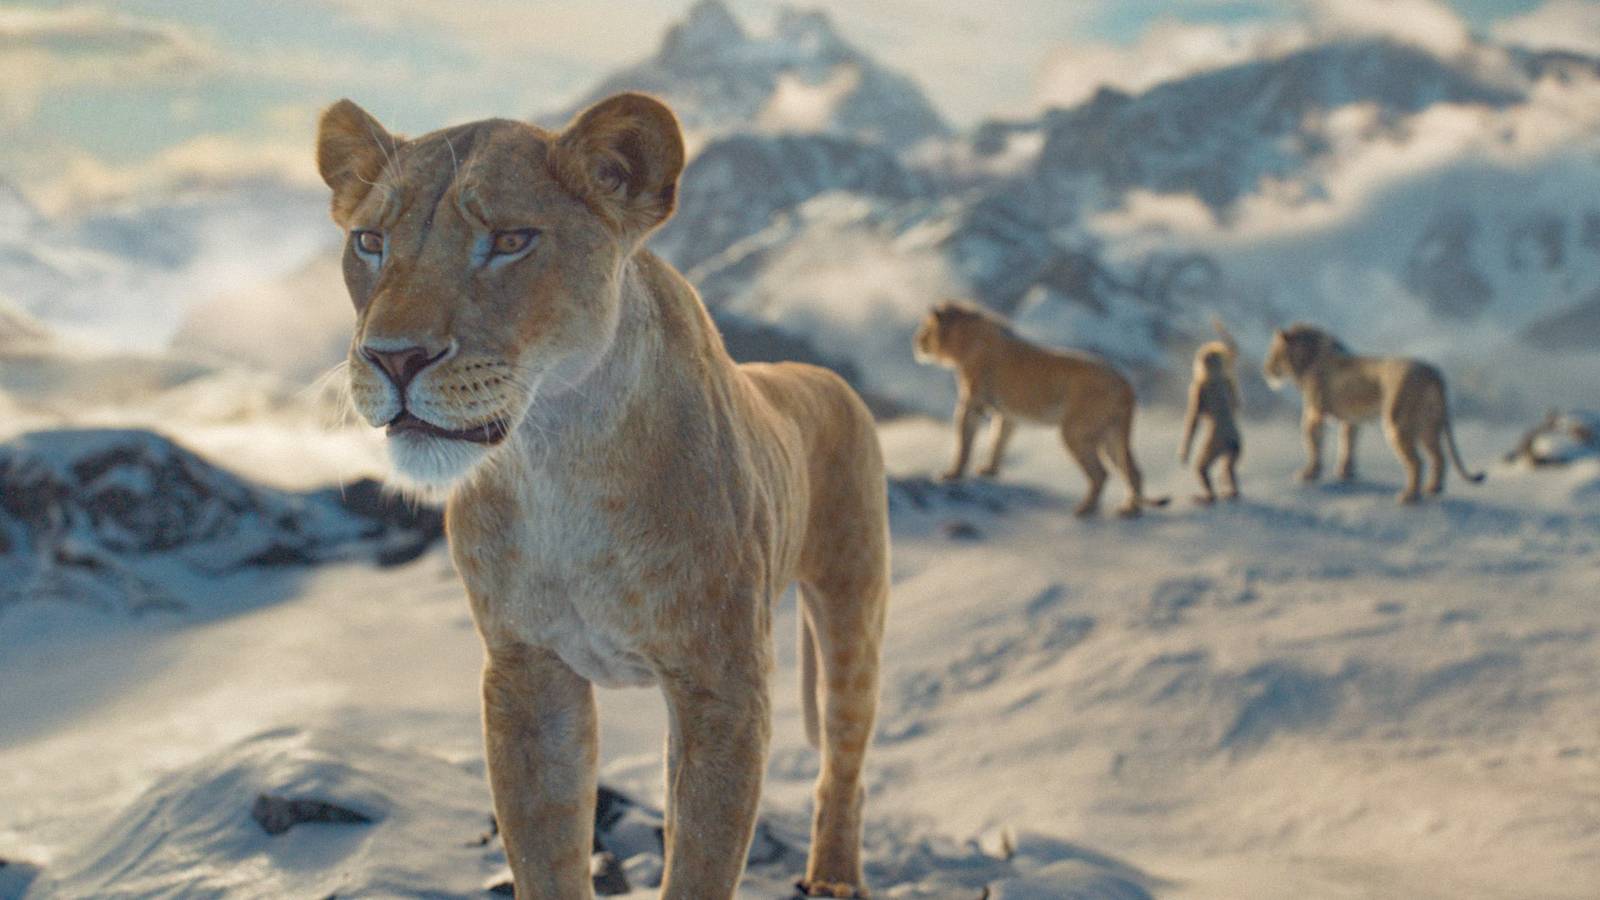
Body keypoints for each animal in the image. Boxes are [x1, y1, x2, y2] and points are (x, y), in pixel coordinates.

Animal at [316, 93, 889, 899]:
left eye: (510, 240)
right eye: (369, 241)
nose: (394, 357)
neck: (559, 458)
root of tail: (825, 377)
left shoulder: (723, 688)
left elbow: (701, 866)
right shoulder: (525, 674)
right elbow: (546, 854)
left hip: (851, 608)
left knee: (845, 755)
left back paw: (834, 875)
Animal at [913, 301, 1168, 517]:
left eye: (925, 328)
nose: (916, 342)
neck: (964, 339)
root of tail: (1126, 384)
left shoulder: (971, 405)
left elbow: (964, 442)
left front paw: (952, 474)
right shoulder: (1006, 414)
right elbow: (998, 440)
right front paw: (989, 471)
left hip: (1076, 431)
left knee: (1101, 474)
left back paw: (1084, 510)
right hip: (1111, 433)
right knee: (1133, 471)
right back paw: (1129, 510)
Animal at [1179, 318, 1244, 504]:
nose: (1198, 356)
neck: (1214, 375)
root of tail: (1230, 440)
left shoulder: (1197, 387)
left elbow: (1193, 418)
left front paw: (1184, 453)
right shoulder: (1227, 381)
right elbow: (1236, 405)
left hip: (1215, 444)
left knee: (1202, 466)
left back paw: (1209, 496)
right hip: (1236, 447)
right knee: (1229, 466)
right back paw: (1233, 491)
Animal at [1263, 323, 1485, 504]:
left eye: (1274, 353)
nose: (1266, 370)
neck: (1307, 359)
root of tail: (1432, 372)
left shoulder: (1314, 414)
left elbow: (1313, 445)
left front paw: (1309, 474)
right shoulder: (1350, 420)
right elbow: (1348, 444)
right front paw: (1346, 473)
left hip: (1398, 422)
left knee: (1417, 462)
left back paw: (1409, 496)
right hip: (1429, 424)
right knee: (1439, 457)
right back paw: (1433, 489)